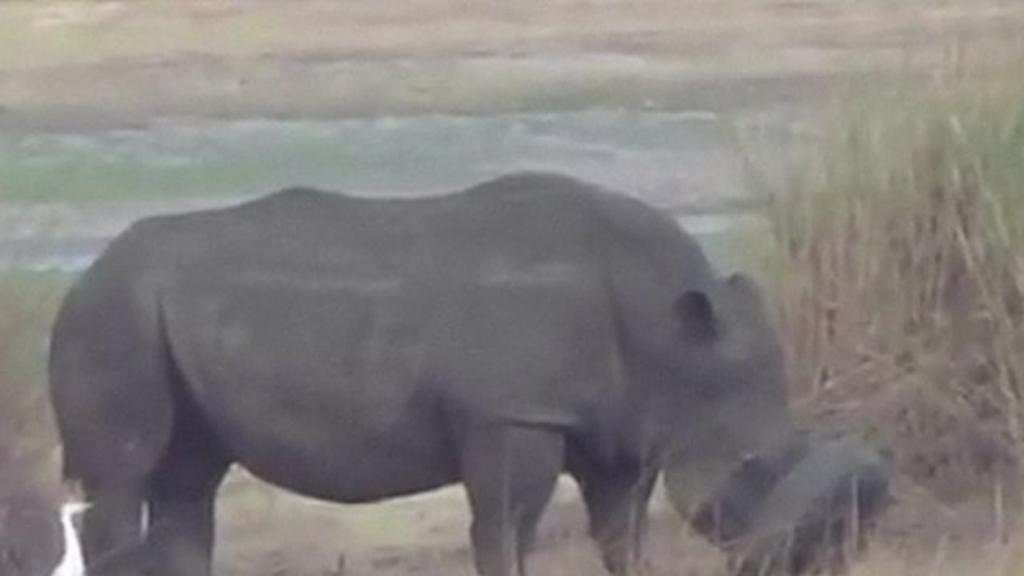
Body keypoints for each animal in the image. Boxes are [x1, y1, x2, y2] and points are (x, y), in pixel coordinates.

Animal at [48, 172, 888, 576]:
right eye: (751, 465)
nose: (818, 556)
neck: (674, 338)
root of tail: (84, 273)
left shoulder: (622, 426)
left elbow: (622, 534)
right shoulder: (516, 413)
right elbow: (505, 529)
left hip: (157, 315)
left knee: (189, 480)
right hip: (110, 314)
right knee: (121, 482)